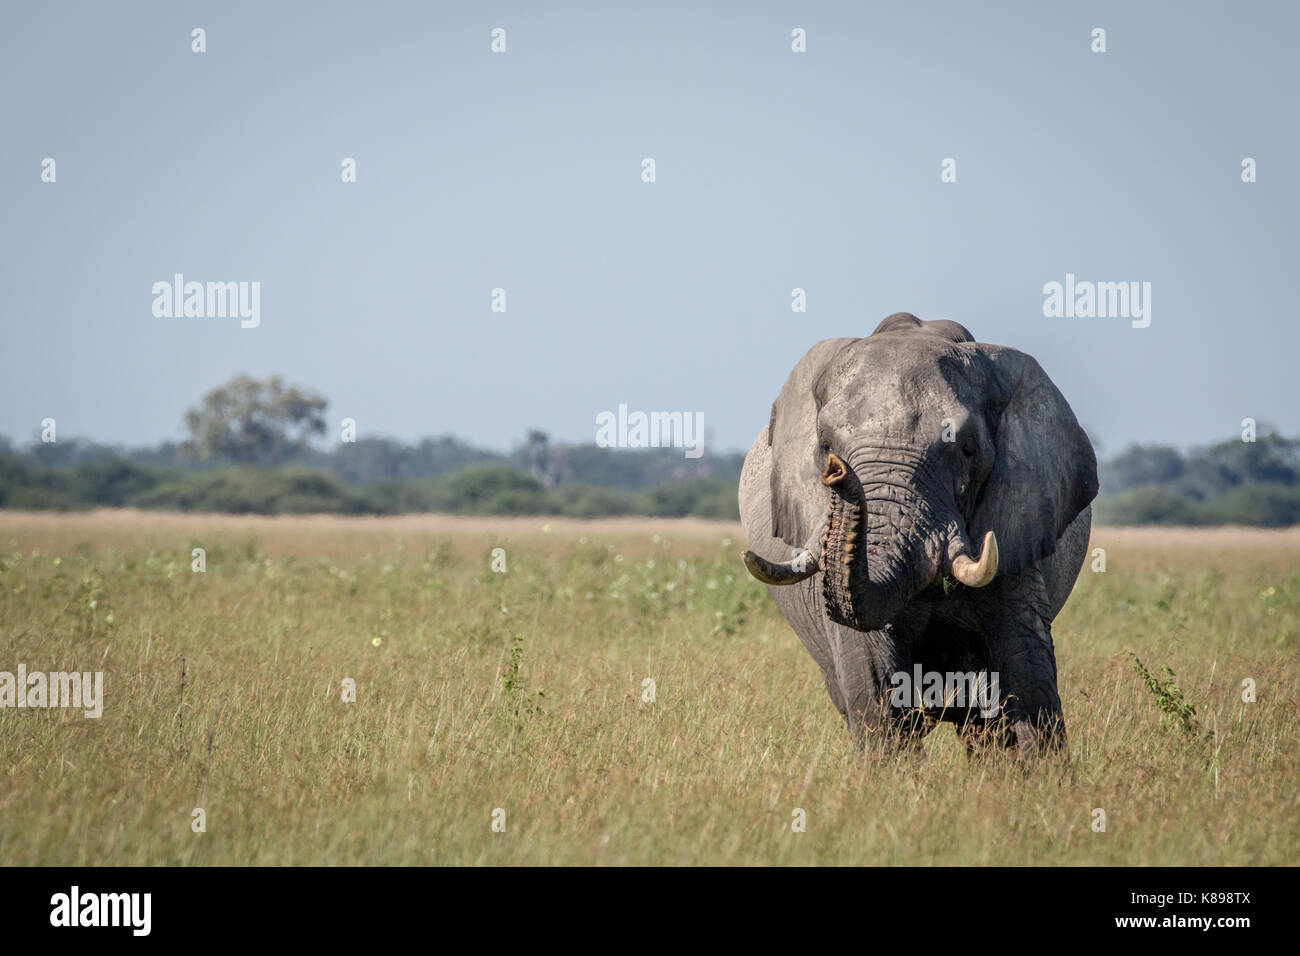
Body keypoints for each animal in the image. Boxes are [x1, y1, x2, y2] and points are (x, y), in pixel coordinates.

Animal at [738, 313, 1097, 757]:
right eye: (825, 445)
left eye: (966, 450)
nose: (836, 472)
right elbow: (873, 678)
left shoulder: (1017, 524)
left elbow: (1027, 671)